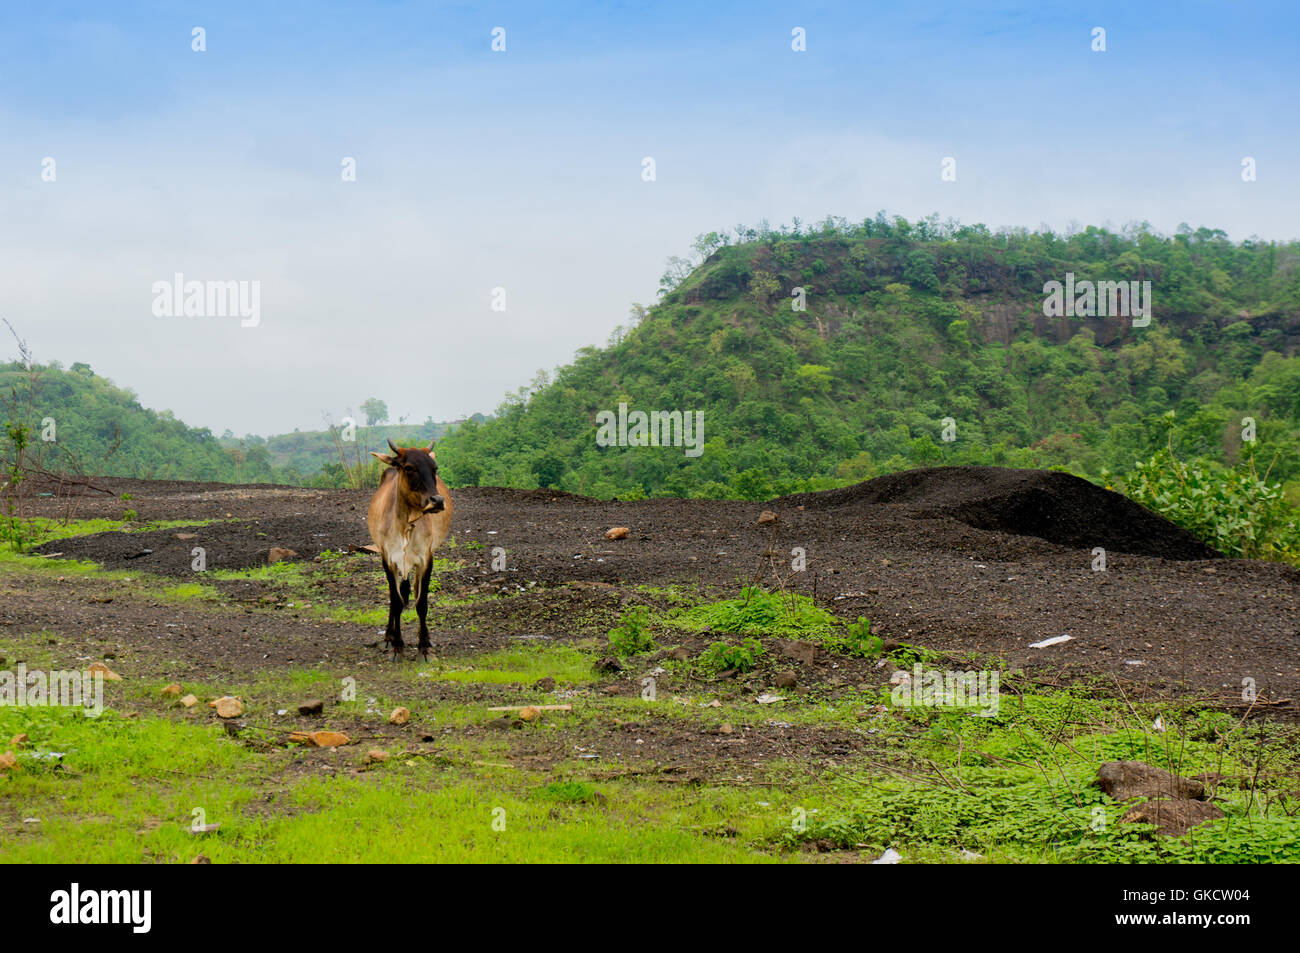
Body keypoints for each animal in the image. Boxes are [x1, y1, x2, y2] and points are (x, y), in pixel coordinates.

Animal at [367, 438, 452, 658]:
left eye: (435, 468)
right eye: (409, 468)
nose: (437, 501)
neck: (405, 524)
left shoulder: (426, 560)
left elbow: (421, 602)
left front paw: (424, 647)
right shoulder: (388, 559)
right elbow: (396, 601)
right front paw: (397, 644)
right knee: (396, 595)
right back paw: (388, 637)